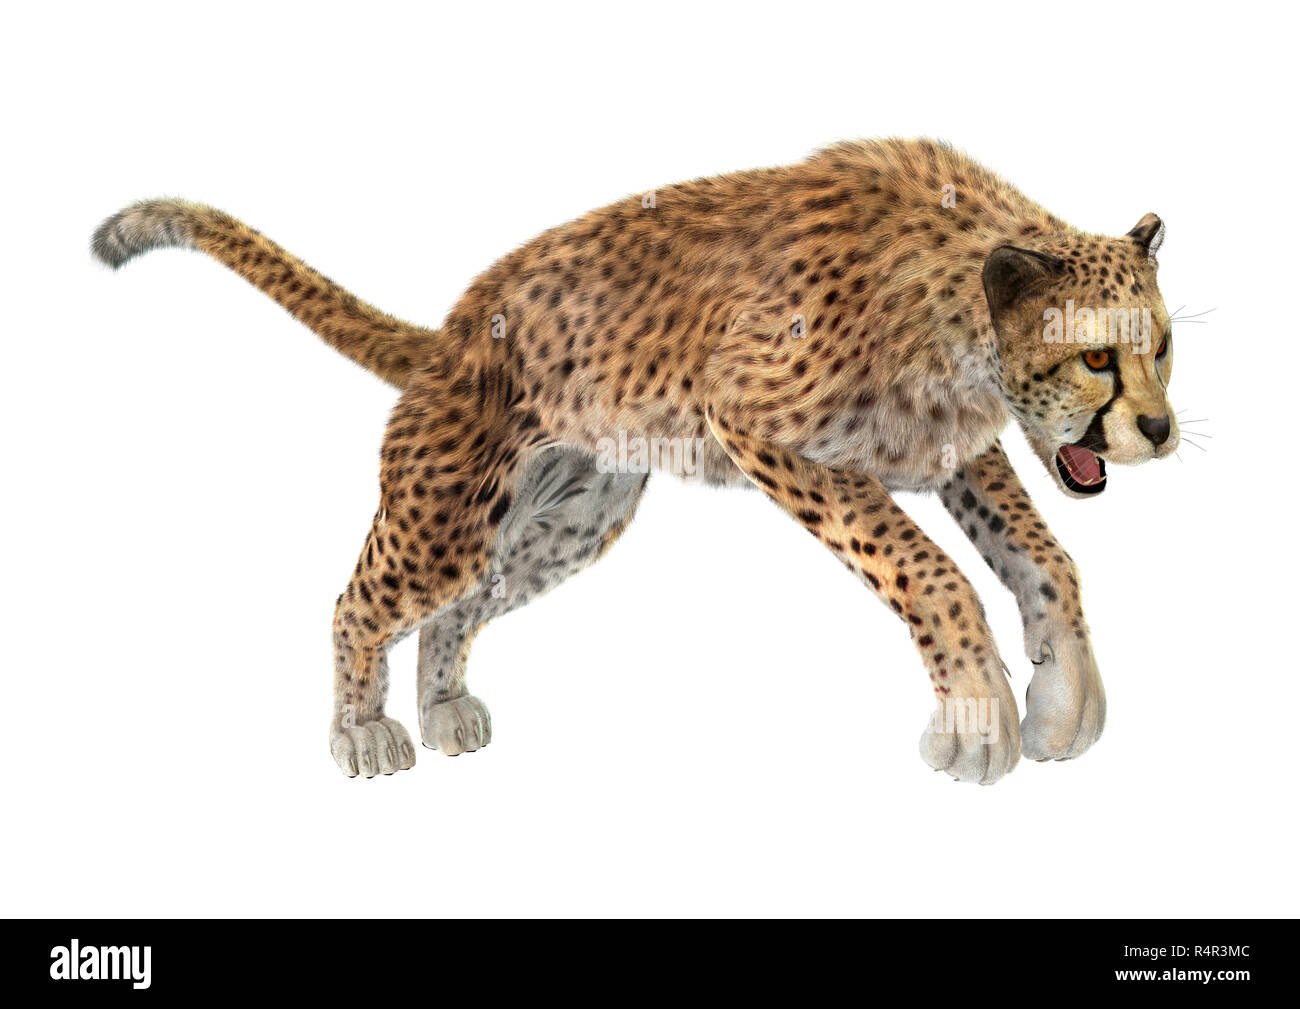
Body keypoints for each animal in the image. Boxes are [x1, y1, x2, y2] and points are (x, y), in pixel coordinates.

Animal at [91, 138, 1179, 784]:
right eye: (1096, 357)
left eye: (1162, 345)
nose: (1161, 430)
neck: (961, 316)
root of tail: (451, 331)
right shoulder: (750, 416)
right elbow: (932, 572)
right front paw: (978, 719)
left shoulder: (958, 451)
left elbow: (1045, 558)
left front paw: (1064, 703)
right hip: (445, 519)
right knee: (362, 603)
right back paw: (362, 731)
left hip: (571, 522)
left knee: (459, 611)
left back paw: (443, 710)